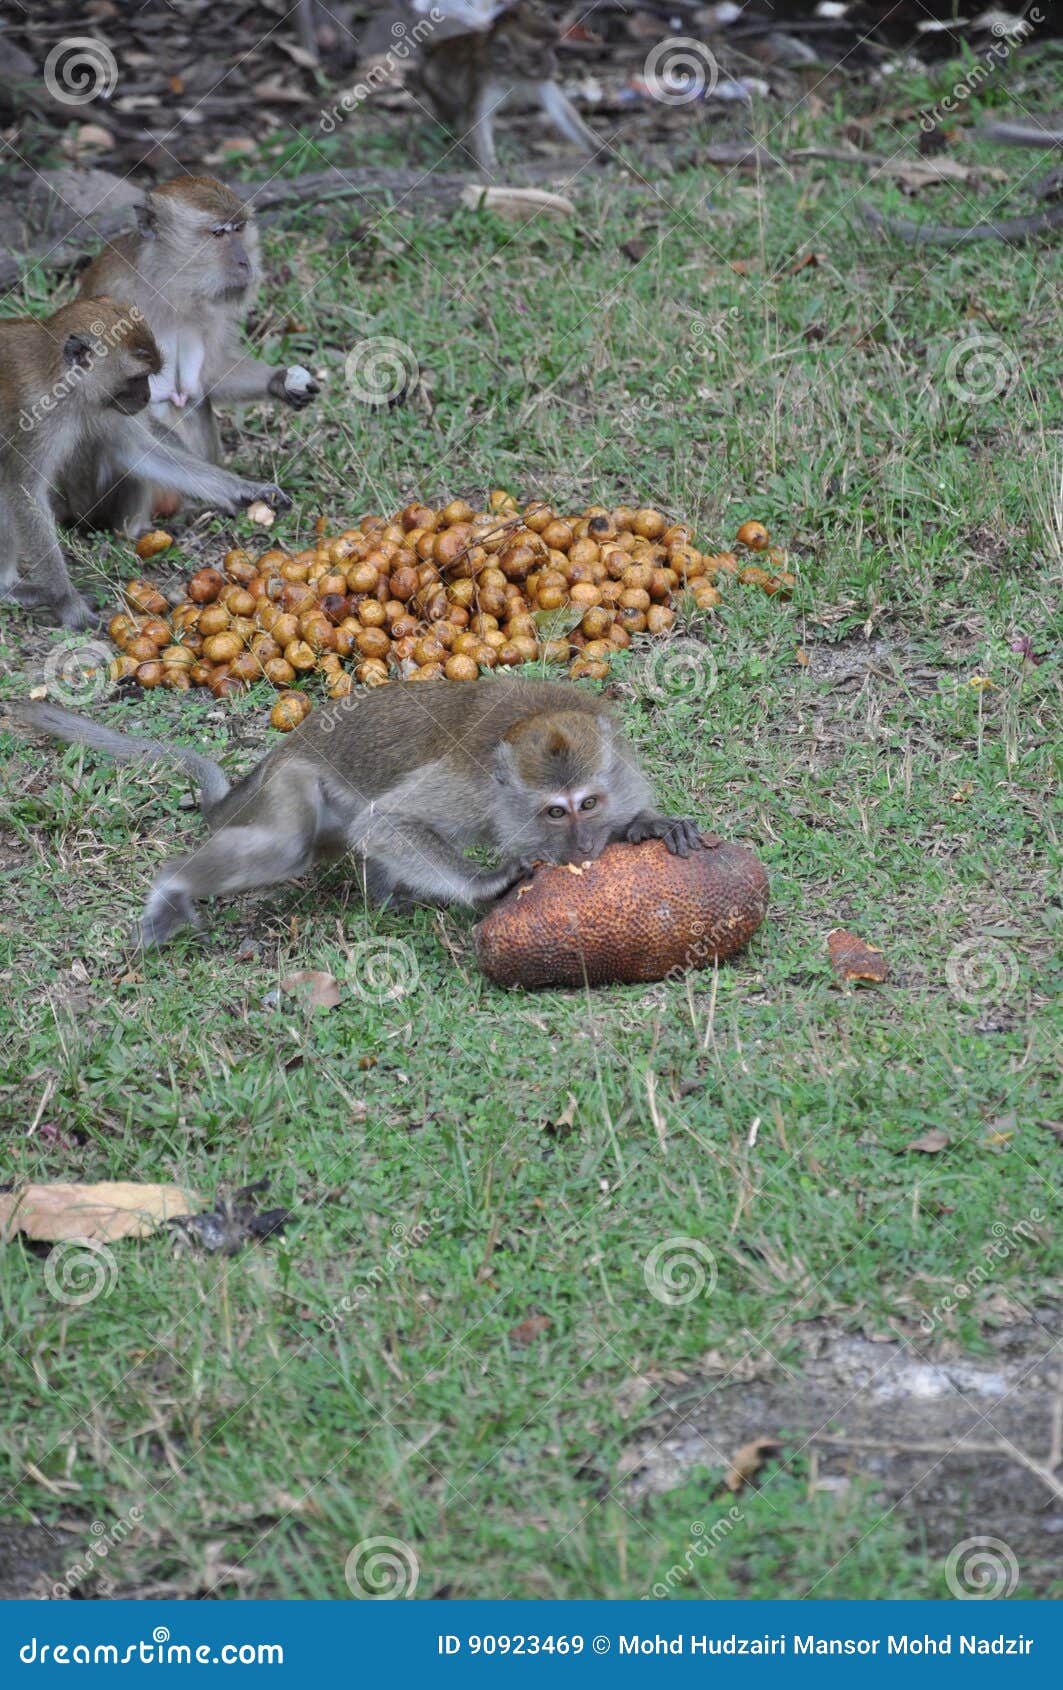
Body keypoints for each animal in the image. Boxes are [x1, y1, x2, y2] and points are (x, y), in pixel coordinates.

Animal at [0, 298, 288, 631]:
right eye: (136, 378)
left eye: (149, 376)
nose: (147, 397)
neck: (62, 381)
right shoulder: (35, 416)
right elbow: (24, 493)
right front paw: (69, 605)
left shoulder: (106, 406)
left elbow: (136, 451)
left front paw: (246, 490)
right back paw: (8, 589)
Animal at [12, 678, 704, 949]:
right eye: (556, 814)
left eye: (589, 803)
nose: (586, 846)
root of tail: (280, 751)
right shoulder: (471, 788)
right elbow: (388, 823)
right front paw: (492, 883)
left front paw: (644, 826)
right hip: (291, 784)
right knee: (291, 845)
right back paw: (172, 889)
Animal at [74, 175, 318, 534]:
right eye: (217, 234)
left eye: (239, 229)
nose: (245, 262)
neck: (165, 286)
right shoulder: (114, 302)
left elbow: (210, 374)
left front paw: (282, 382)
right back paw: (136, 530)